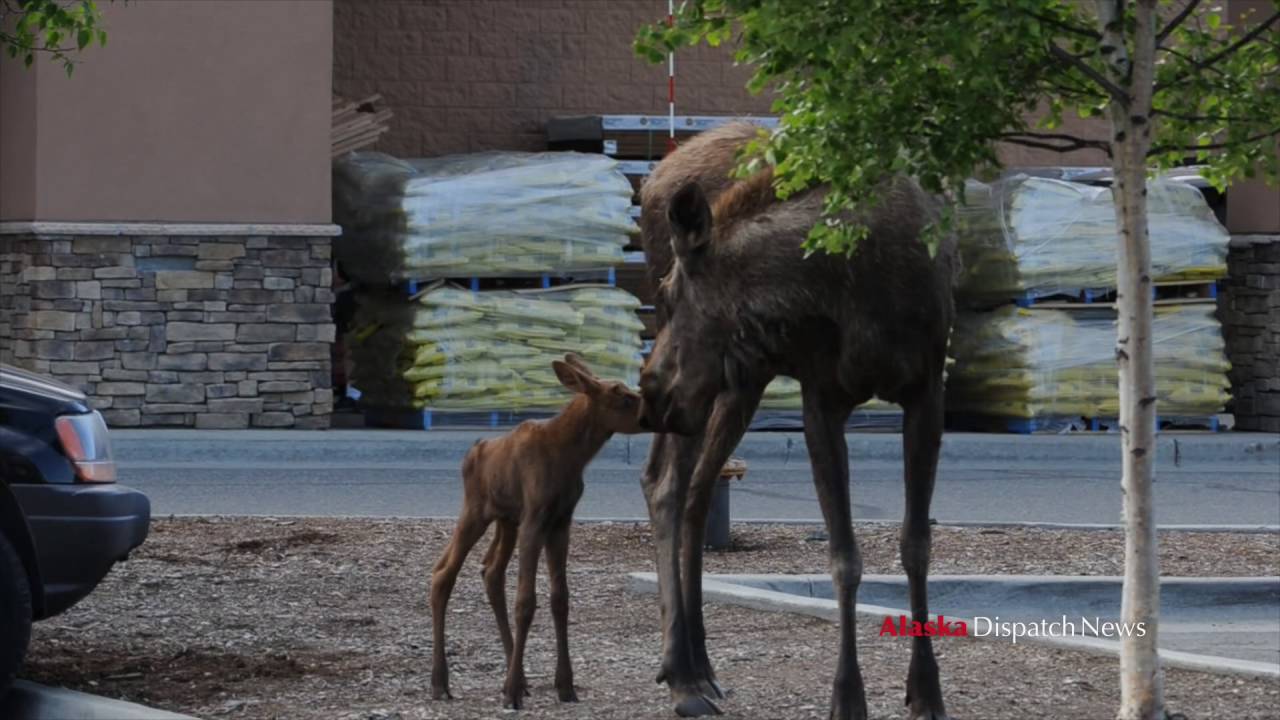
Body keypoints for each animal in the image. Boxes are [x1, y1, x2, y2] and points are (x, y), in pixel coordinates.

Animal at [429, 353, 650, 710]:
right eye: (624, 397)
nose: (656, 410)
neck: (573, 458)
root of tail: (470, 455)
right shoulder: (535, 519)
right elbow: (526, 601)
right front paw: (512, 693)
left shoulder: (560, 521)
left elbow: (560, 598)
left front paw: (565, 685)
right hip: (476, 511)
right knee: (443, 573)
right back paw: (441, 681)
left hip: (506, 521)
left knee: (490, 571)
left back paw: (518, 677)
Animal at [635, 123, 959, 720]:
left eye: (673, 294)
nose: (649, 393)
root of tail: (654, 179)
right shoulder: (821, 399)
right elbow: (845, 558)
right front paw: (847, 697)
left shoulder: (927, 392)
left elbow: (917, 544)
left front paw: (926, 691)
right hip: (720, 386)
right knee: (668, 483)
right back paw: (682, 678)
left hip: (735, 380)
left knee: (692, 489)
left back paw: (699, 665)